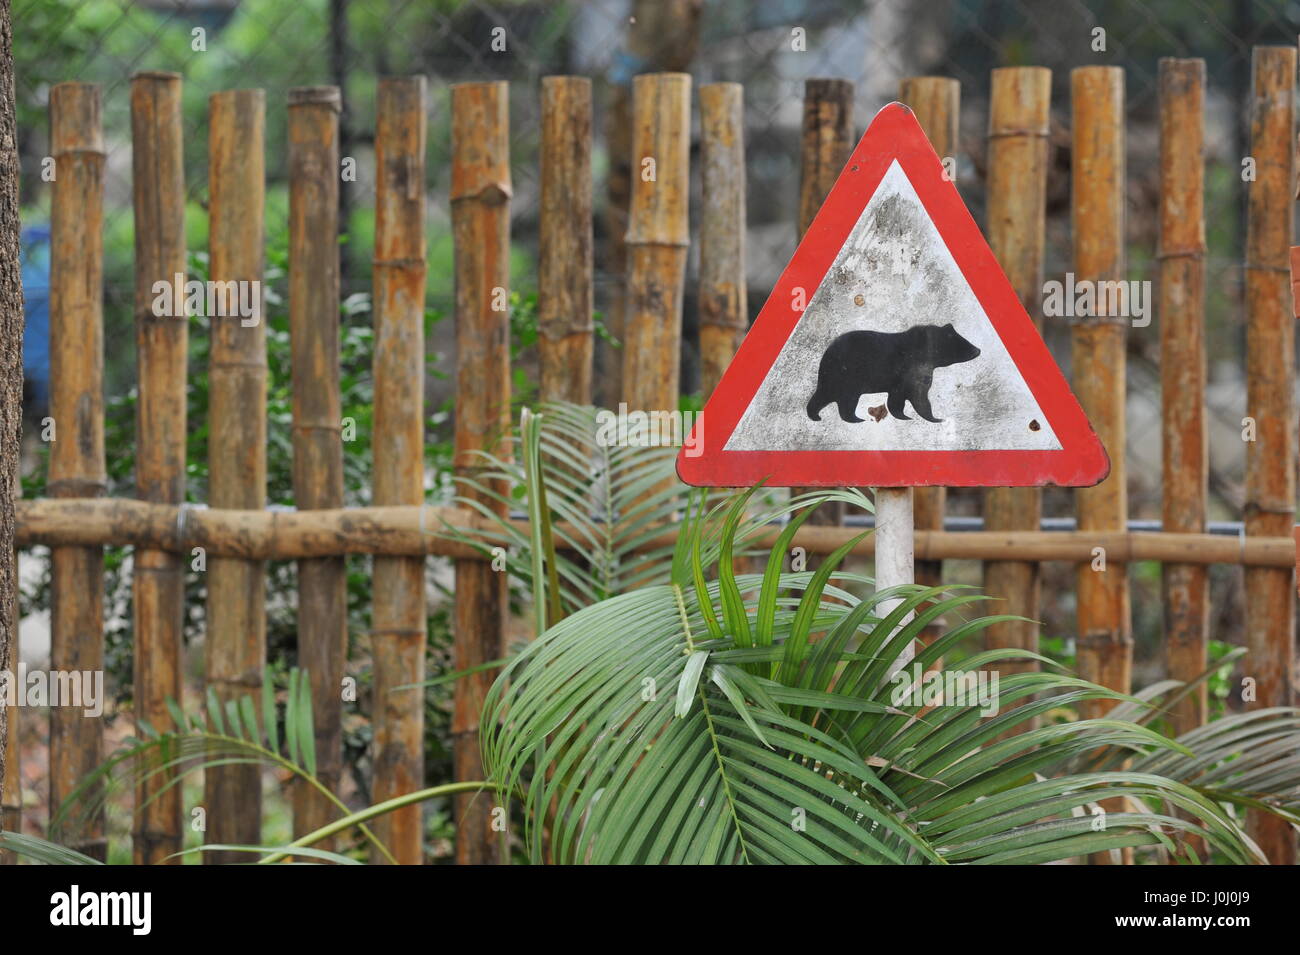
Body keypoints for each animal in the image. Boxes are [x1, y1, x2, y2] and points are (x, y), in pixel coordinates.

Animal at [805, 323, 980, 424]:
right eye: (964, 343)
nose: (978, 350)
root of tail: (826, 357)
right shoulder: (913, 370)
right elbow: (918, 396)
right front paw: (935, 417)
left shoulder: (902, 379)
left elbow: (898, 399)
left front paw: (905, 415)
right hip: (846, 378)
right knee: (840, 400)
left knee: (829, 398)